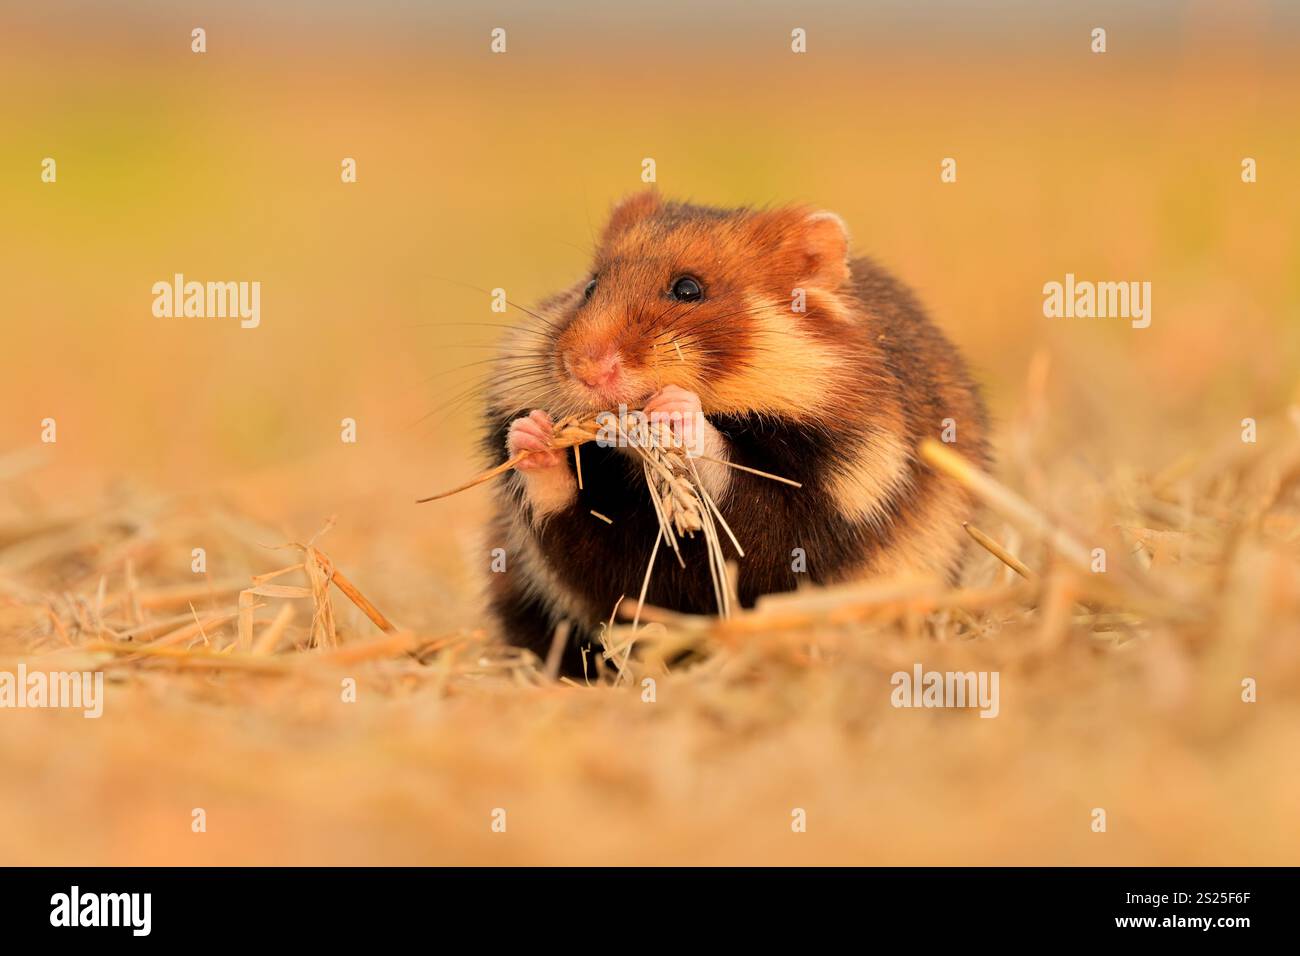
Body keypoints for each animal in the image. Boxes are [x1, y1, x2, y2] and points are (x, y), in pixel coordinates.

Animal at [480, 192, 989, 675]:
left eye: (688, 289)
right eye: (589, 287)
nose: (585, 368)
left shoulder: (817, 509)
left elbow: (741, 498)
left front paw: (674, 410)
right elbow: (568, 520)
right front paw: (531, 433)